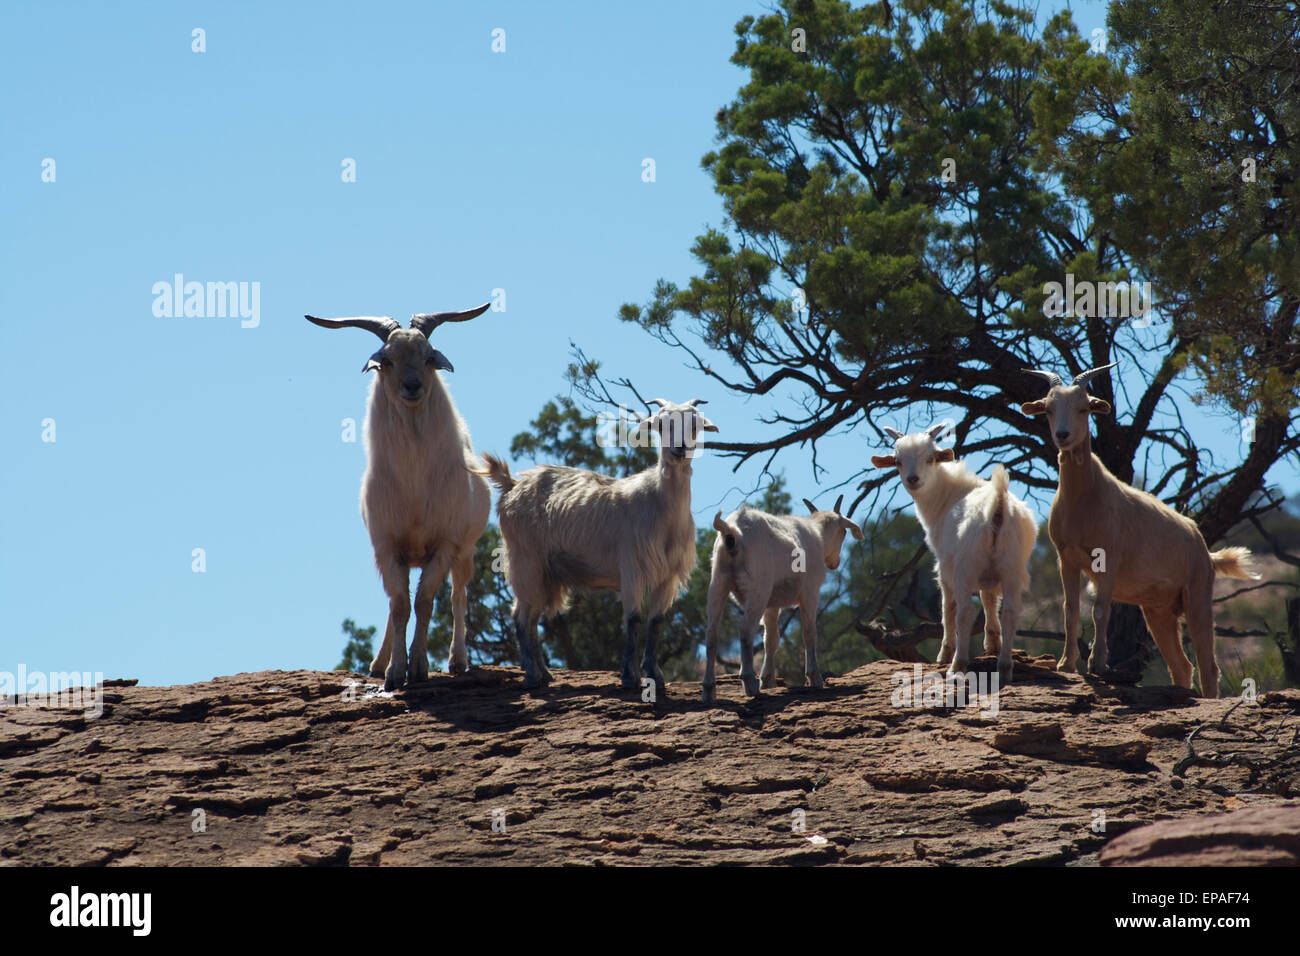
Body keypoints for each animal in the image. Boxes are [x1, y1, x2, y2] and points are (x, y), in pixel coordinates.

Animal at [305, 304, 492, 691]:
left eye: (429, 357)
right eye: (387, 360)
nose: (413, 386)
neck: (414, 484)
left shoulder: (443, 546)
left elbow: (424, 603)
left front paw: (418, 667)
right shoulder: (387, 547)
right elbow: (400, 606)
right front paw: (393, 672)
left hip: (465, 550)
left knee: (459, 595)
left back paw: (457, 660)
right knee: (395, 604)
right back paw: (378, 663)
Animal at [477, 399, 717, 693]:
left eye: (695, 425)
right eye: (661, 424)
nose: (679, 448)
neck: (660, 505)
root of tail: (512, 484)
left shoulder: (668, 577)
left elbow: (656, 623)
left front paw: (656, 676)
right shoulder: (632, 568)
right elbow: (633, 620)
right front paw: (630, 677)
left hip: (547, 572)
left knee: (532, 617)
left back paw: (545, 673)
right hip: (526, 560)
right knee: (521, 616)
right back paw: (532, 675)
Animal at [703, 496, 863, 704]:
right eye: (843, 533)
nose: (834, 563)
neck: (817, 535)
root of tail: (732, 531)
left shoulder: (772, 604)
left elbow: (771, 639)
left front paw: (767, 680)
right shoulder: (810, 592)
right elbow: (809, 633)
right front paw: (814, 677)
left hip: (718, 583)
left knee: (711, 633)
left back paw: (708, 690)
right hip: (758, 588)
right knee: (745, 629)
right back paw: (750, 684)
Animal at [871, 425, 1037, 684]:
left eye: (930, 458)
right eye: (897, 461)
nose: (912, 479)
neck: (947, 496)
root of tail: (996, 505)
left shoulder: (944, 566)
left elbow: (946, 607)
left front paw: (945, 652)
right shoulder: (990, 572)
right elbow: (989, 597)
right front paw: (992, 642)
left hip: (965, 566)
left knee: (965, 611)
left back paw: (957, 664)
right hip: (1012, 564)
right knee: (1011, 610)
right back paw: (1004, 667)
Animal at [1021, 363, 1259, 697]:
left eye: (1084, 408)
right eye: (1049, 409)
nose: (1063, 435)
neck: (1085, 498)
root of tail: (1204, 549)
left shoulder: (1107, 559)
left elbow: (1100, 609)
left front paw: (1098, 663)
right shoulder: (1065, 558)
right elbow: (1070, 608)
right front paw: (1066, 664)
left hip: (1198, 595)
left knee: (1208, 666)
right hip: (1158, 611)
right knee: (1181, 666)